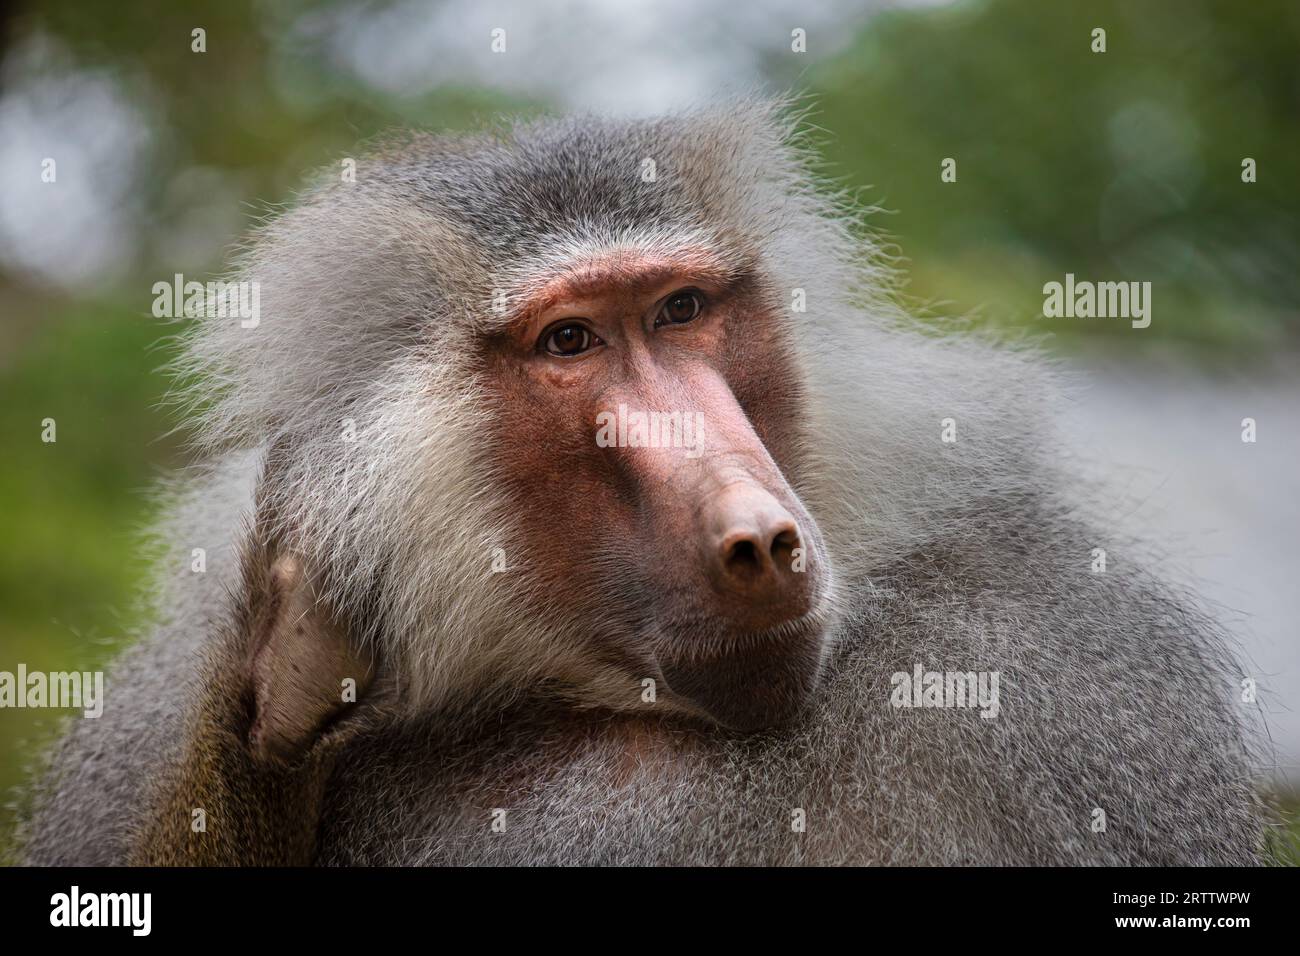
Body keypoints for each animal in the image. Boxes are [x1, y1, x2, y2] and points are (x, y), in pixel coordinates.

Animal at [18, 99, 1269, 866]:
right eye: (570, 341)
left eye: (680, 309)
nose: (759, 539)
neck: (619, 703)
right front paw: (286, 682)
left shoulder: (1051, 663)